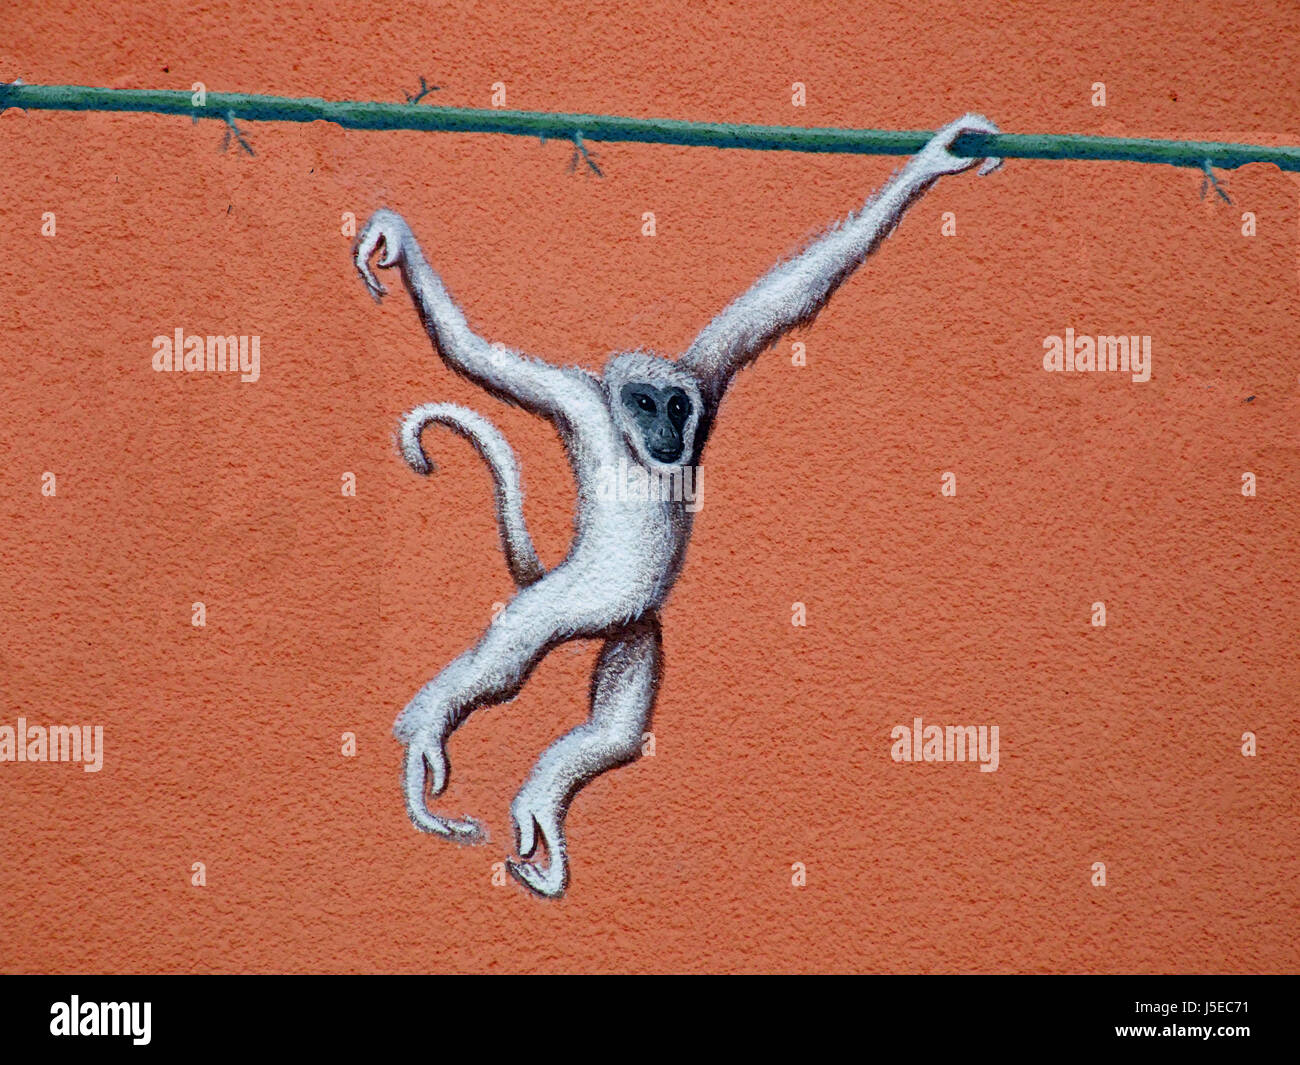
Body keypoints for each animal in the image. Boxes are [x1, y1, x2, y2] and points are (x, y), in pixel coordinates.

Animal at [354, 113, 1002, 898]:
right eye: (641, 402)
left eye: (674, 404)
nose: (666, 428)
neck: (632, 444)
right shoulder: (578, 401)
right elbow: (473, 351)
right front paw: (398, 244)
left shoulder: (708, 375)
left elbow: (796, 287)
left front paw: (933, 162)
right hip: (559, 604)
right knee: (502, 665)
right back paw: (424, 729)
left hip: (632, 629)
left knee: (613, 734)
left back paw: (539, 802)